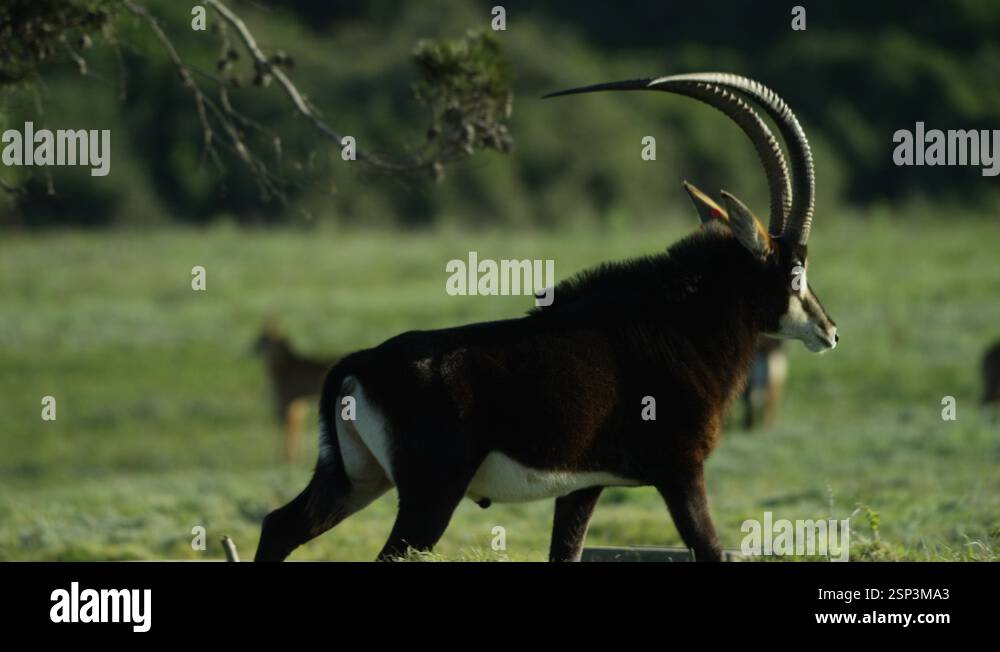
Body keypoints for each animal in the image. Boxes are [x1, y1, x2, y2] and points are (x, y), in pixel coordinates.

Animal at [255, 73, 839, 563]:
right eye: (794, 269)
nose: (829, 330)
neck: (675, 328)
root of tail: (357, 365)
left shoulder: (585, 485)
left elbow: (567, 553)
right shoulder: (680, 470)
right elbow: (710, 550)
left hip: (355, 481)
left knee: (278, 526)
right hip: (428, 497)